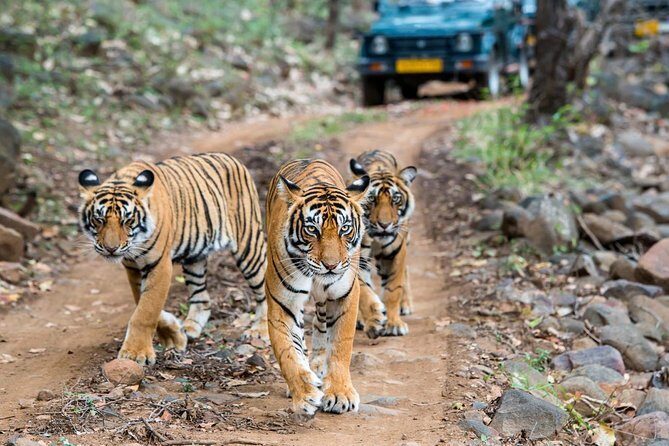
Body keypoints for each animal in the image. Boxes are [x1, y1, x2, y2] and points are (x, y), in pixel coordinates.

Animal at [78, 153, 267, 366]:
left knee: (264, 288)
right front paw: (174, 335)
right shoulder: (133, 268)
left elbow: (146, 310)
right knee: (202, 298)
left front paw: (136, 353)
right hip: (195, 258)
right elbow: (142, 302)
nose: (111, 249)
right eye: (99, 220)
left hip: (249, 244)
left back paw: (260, 330)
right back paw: (190, 328)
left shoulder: (159, 265)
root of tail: (231, 158)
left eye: (128, 220)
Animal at [265, 159, 370, 416]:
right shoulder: (282, 303)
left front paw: (340, 394)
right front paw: (304, 394)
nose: (331, 265)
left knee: (322, 324)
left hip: (325, 299)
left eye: (345, 228)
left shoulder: (345, 295)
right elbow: (288, 352)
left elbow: (341, 346)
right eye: (312, 229)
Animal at [350, 149, 417, 337]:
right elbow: (364, 291)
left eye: (395, 199)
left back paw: (405, 305)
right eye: (372, 199)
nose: (385, 225)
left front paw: (394, 324)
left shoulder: (396, 253)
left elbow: (393, 289)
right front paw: (374, 320)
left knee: (406, 272)